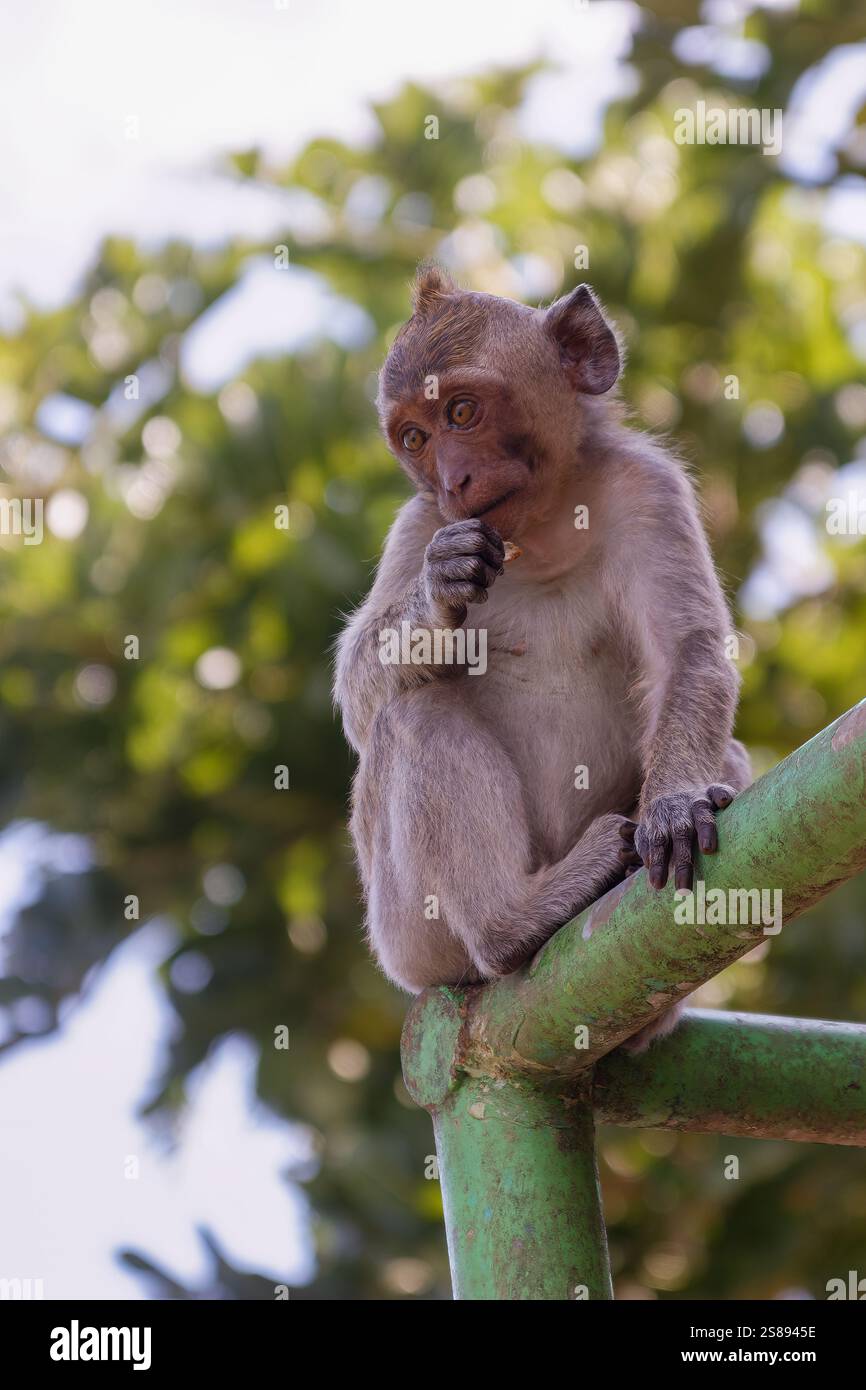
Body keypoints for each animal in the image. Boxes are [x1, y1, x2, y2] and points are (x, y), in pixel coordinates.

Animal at [334, 266, 751, 1050]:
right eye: (415, 437)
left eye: (462, 412)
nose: (454, 481)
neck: (550, 522)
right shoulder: (422, 523)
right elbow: (358, 693)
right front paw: (439, 590)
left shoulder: (648, 489)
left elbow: (689, 652)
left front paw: (673, 806)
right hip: (406, 937)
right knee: (416, 714)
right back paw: (516, 921)